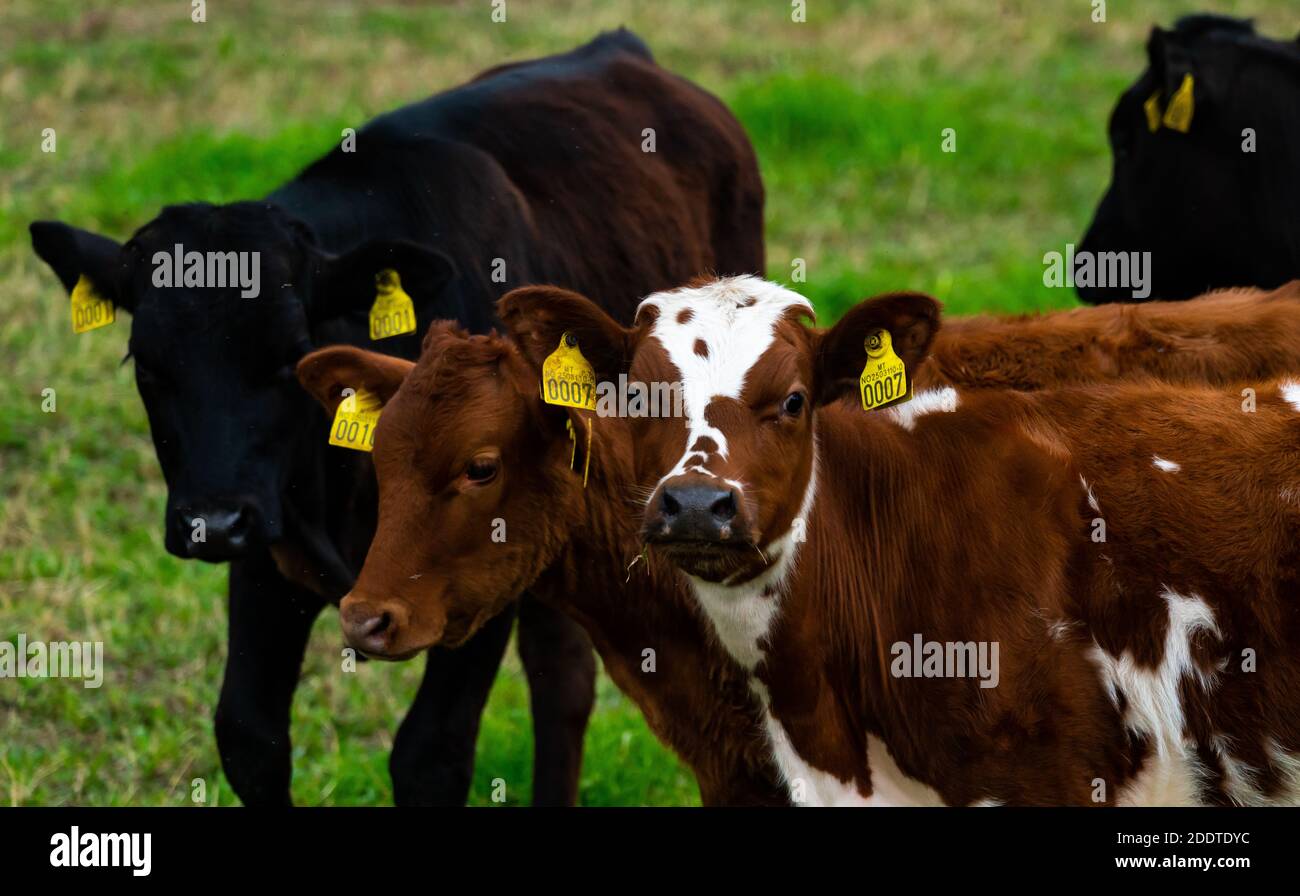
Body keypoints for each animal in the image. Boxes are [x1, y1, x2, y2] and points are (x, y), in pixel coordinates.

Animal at [29, 29, 765, 806]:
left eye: (289, 356)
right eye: (146, 364)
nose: (213, 523)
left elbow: (428, 752)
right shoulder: (268, 545)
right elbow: (249, 735)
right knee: (561, 669)